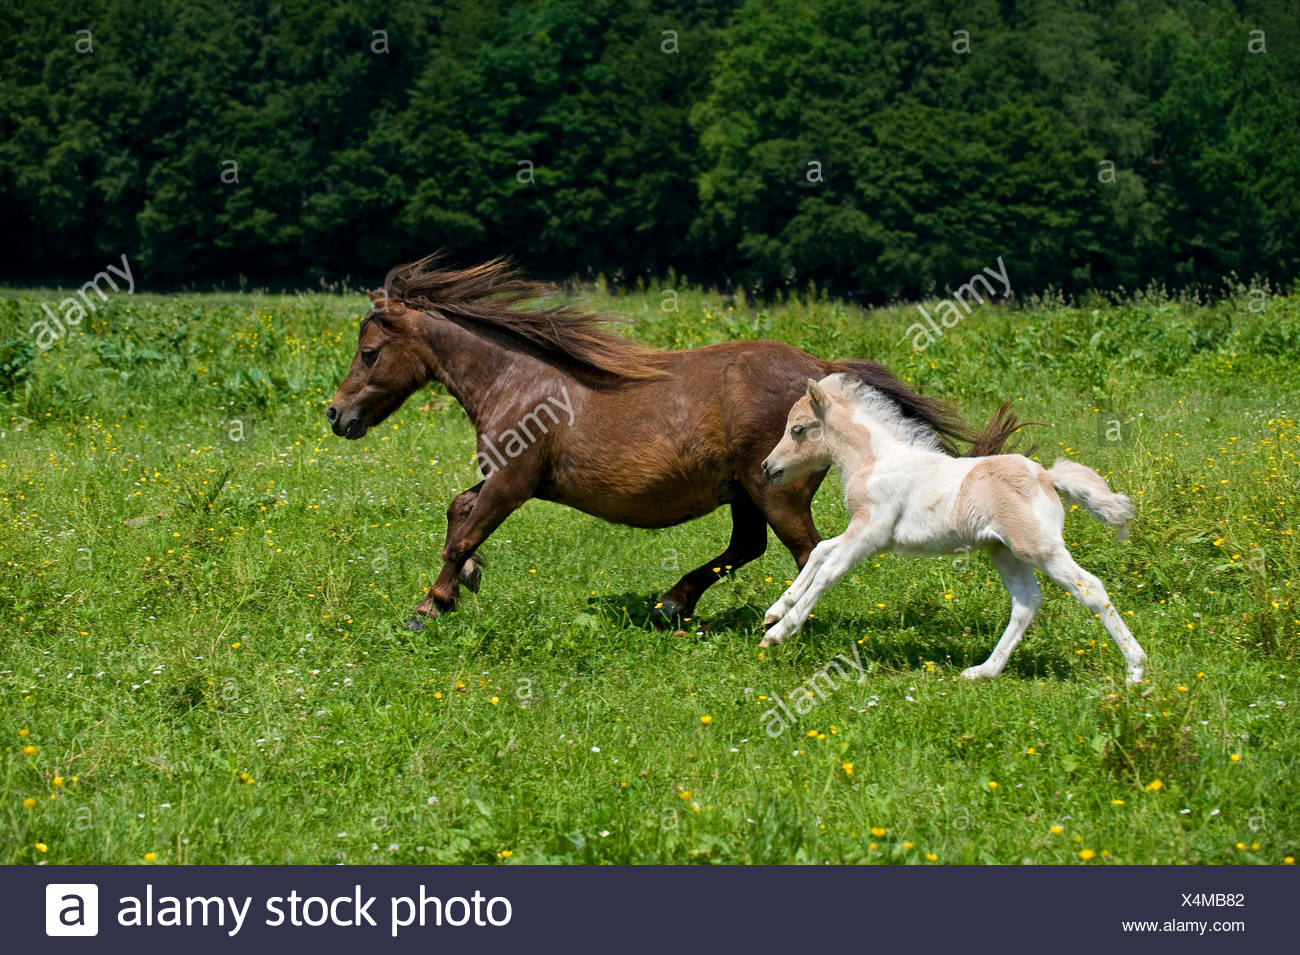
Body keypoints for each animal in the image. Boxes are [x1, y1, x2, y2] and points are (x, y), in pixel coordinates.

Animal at [326, 255, 1022, 631]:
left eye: (370, 351)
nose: (336, 415)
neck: (517, 383)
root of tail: (819, 372)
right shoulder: (506, 479)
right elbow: (458, 511)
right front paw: (466, 580)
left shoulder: (515, 481)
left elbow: (465, 529)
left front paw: (431, 604)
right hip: (747, 490)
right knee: (749, 547)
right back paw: (673, 605)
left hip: (776, 491)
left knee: (807, 552)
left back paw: (784, 622)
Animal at [759, 373, 1147, 683]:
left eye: (797, 429)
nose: (767, 467)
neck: (875, 461)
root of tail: (1047, 477)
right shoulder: (865, 531)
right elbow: (821, 551)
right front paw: (775, 611)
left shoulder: (871, 533)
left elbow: (830, 570)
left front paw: (778, 632)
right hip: (1005, 552)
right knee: (1026, 603)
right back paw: (983, 671)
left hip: (1039, 547)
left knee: (1090, 588)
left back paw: (1136, 669)